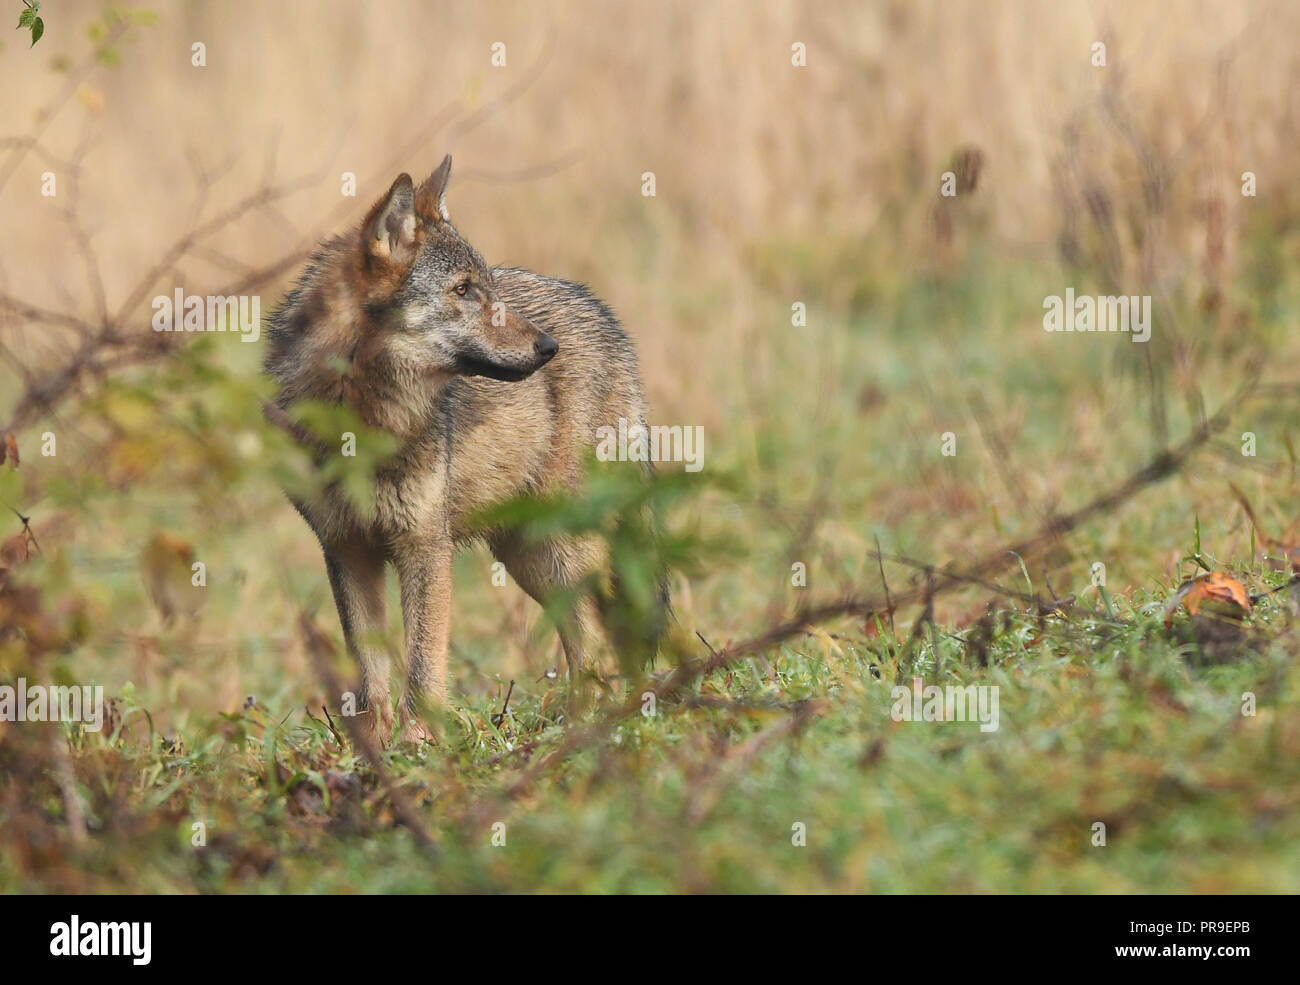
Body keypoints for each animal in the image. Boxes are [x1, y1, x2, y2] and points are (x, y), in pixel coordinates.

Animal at [264, 155, 664, 744]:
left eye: (486, 288)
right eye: (463, 289)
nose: (547, 347)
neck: (363, 418)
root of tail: (599, 308)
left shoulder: (424, 548)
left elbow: (423, 667)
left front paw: (419, 746)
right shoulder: (346, 549)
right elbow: (371, 679)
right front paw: (377, 749)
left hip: (568, 548)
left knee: (596, 640)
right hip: (530, 557)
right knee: (583, 643)